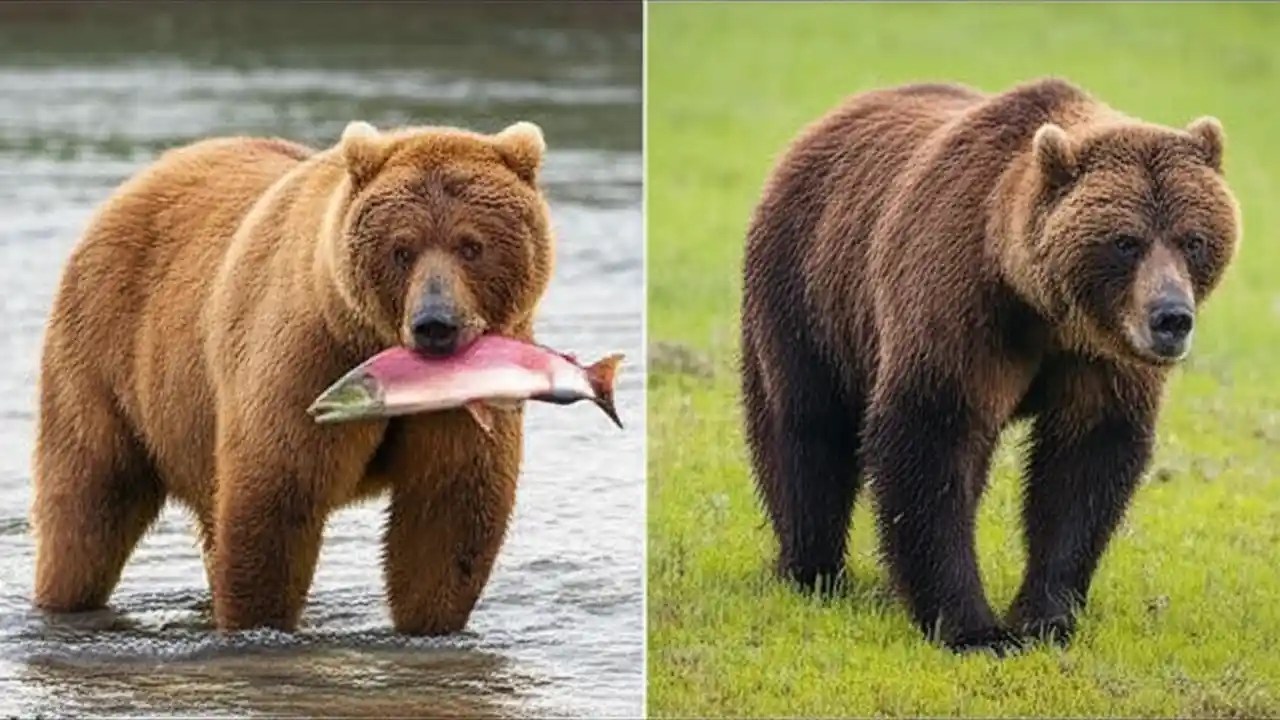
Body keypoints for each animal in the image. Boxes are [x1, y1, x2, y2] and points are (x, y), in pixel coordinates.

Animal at [31, 118, 554, 634]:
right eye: (402, 249)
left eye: (471, 245)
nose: (435, 324)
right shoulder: (307, 358)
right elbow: (277, 498)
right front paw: (260, 622)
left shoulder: (466, 395)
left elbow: (447, 513)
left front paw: (428, 621)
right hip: (105, 354)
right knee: (87, 503)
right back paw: (65, 600)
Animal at [740, 77, 1240, 653]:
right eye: (1125, 241)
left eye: (1194, 239)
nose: (1171, 318)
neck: (1042, 309)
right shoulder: (958, 306)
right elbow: (929, 440)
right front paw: (973, 628)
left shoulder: (1100, 359)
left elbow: (1084, 465)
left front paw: (1044, 616)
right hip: (810, 290)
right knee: (808, 430)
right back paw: (812, 570)